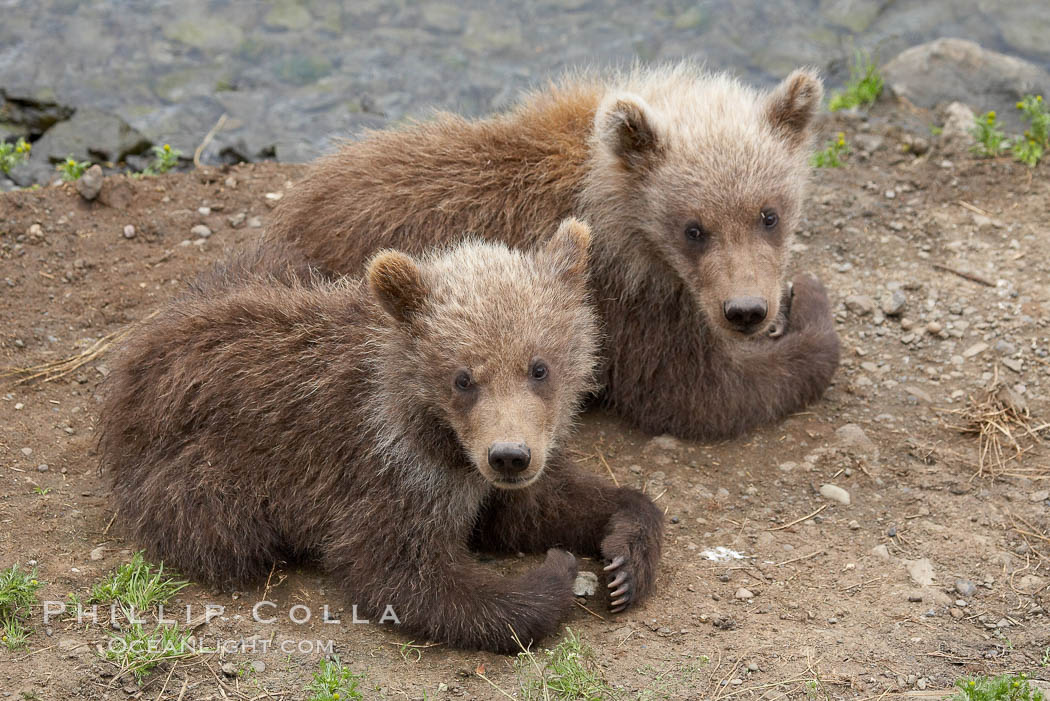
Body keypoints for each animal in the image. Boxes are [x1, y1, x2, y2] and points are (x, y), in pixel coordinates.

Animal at [98, 218, 664, 653]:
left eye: (538, 367)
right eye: (463, 377)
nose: (509, 456)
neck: (437, 436)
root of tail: (134, 359)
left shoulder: (482, 471)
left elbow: (542, 505)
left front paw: (623, 556)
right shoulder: (381, 469)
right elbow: (404, 575)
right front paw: (554, 573)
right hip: (202, 470)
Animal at [265, 63, 841, 441]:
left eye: (768, 214)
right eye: (694, 229)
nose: (746, 311)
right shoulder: (624, 298)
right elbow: (701, 395)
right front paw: (812, 307)